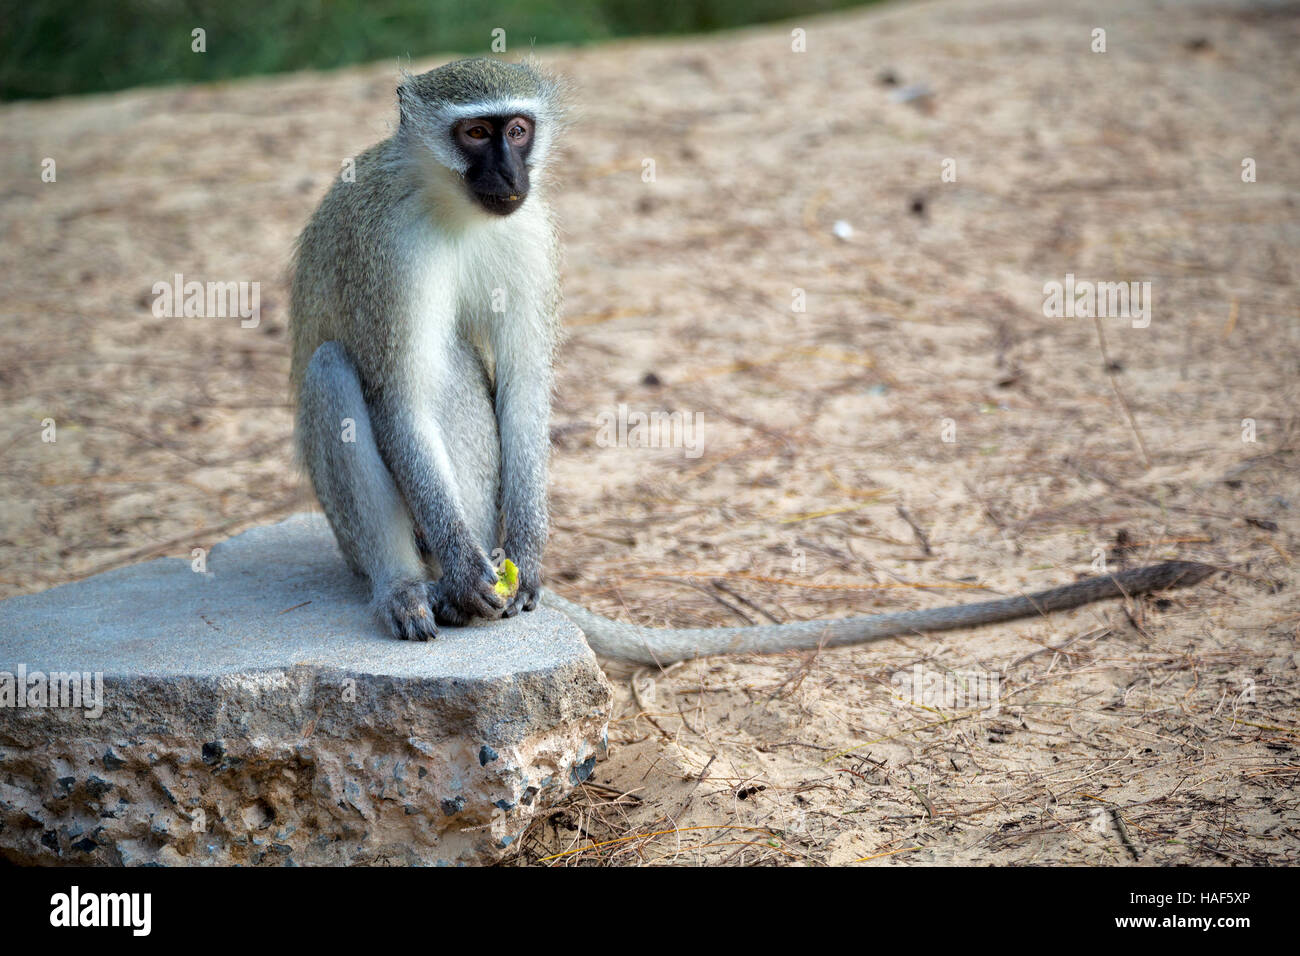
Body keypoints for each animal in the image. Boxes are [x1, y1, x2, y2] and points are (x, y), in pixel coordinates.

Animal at [290, 57, 1215, 664]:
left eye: (517, 128)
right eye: (475, 131)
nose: (511, 172)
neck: (454, 206)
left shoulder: (530, 231)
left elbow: (523, 386)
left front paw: (530, 550)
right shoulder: (387, 251)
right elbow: (400, 397)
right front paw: (466, 563)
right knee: (337, 369)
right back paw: (416, 584)